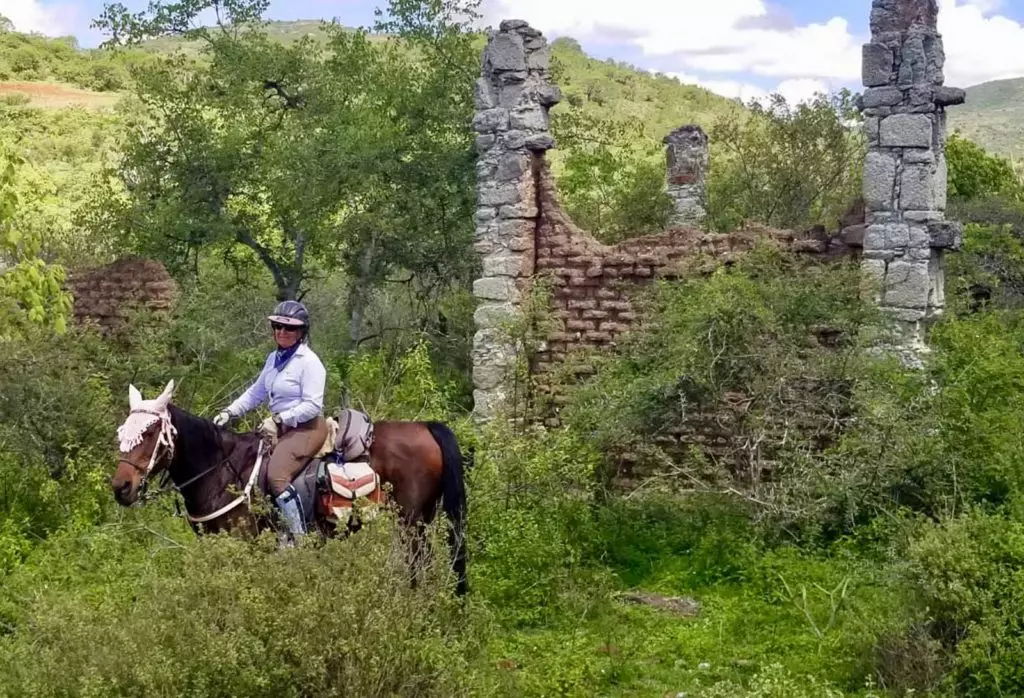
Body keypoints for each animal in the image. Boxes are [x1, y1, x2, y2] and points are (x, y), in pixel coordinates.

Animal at [109, 380, 468, 593]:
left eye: (151, 432)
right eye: (122, 431)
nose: (121, 487)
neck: (220, 469)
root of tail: (425, 427)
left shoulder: (245, 545)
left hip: (411, 523)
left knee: (418, 563)